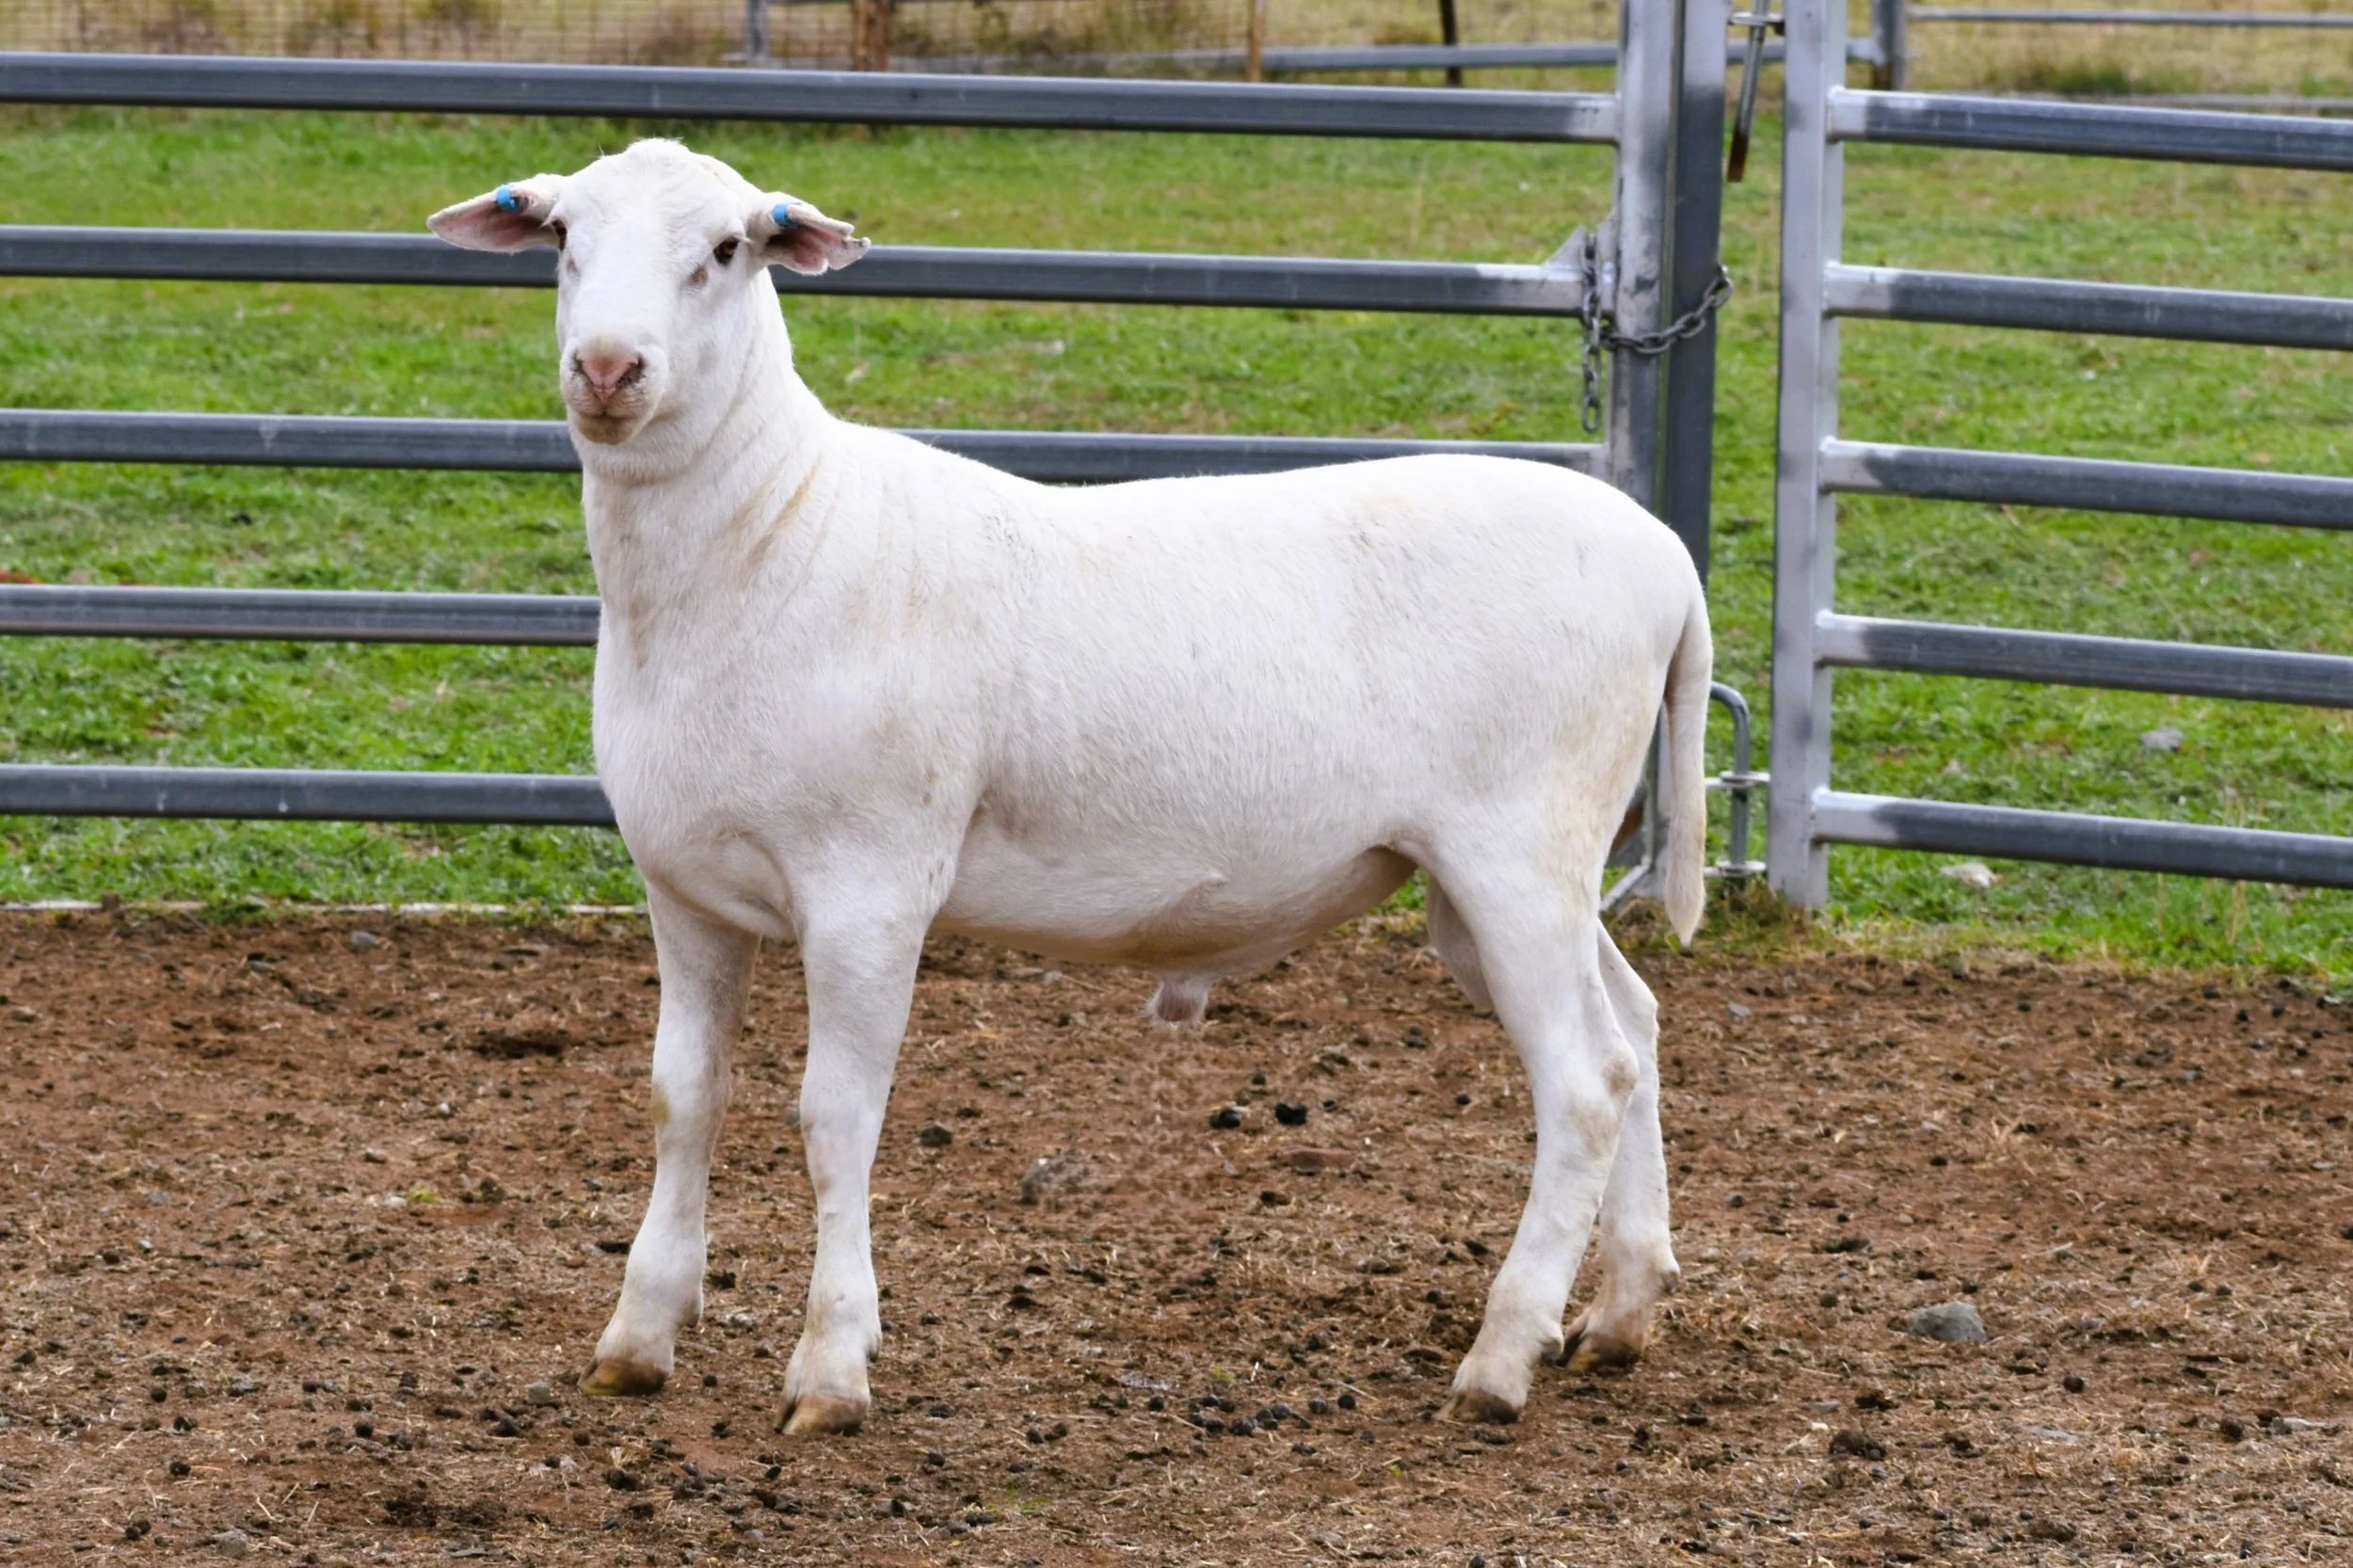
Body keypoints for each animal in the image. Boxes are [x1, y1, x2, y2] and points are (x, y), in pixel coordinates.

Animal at [428, 138, 1713, 1436]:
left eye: (729, 248)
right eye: (561, 238)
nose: (607, 367)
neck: (775, 532)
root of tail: (1666, 557)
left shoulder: (869, 886)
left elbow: (835, 1119)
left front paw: (832, 1366)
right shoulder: (683, 884)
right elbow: (681, 1097)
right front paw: (637, 1339)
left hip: (1519, 847)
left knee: (1586, 1081)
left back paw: (1500, 1356)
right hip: (1504, 874)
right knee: (1637, 1029)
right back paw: (1621, 1312)